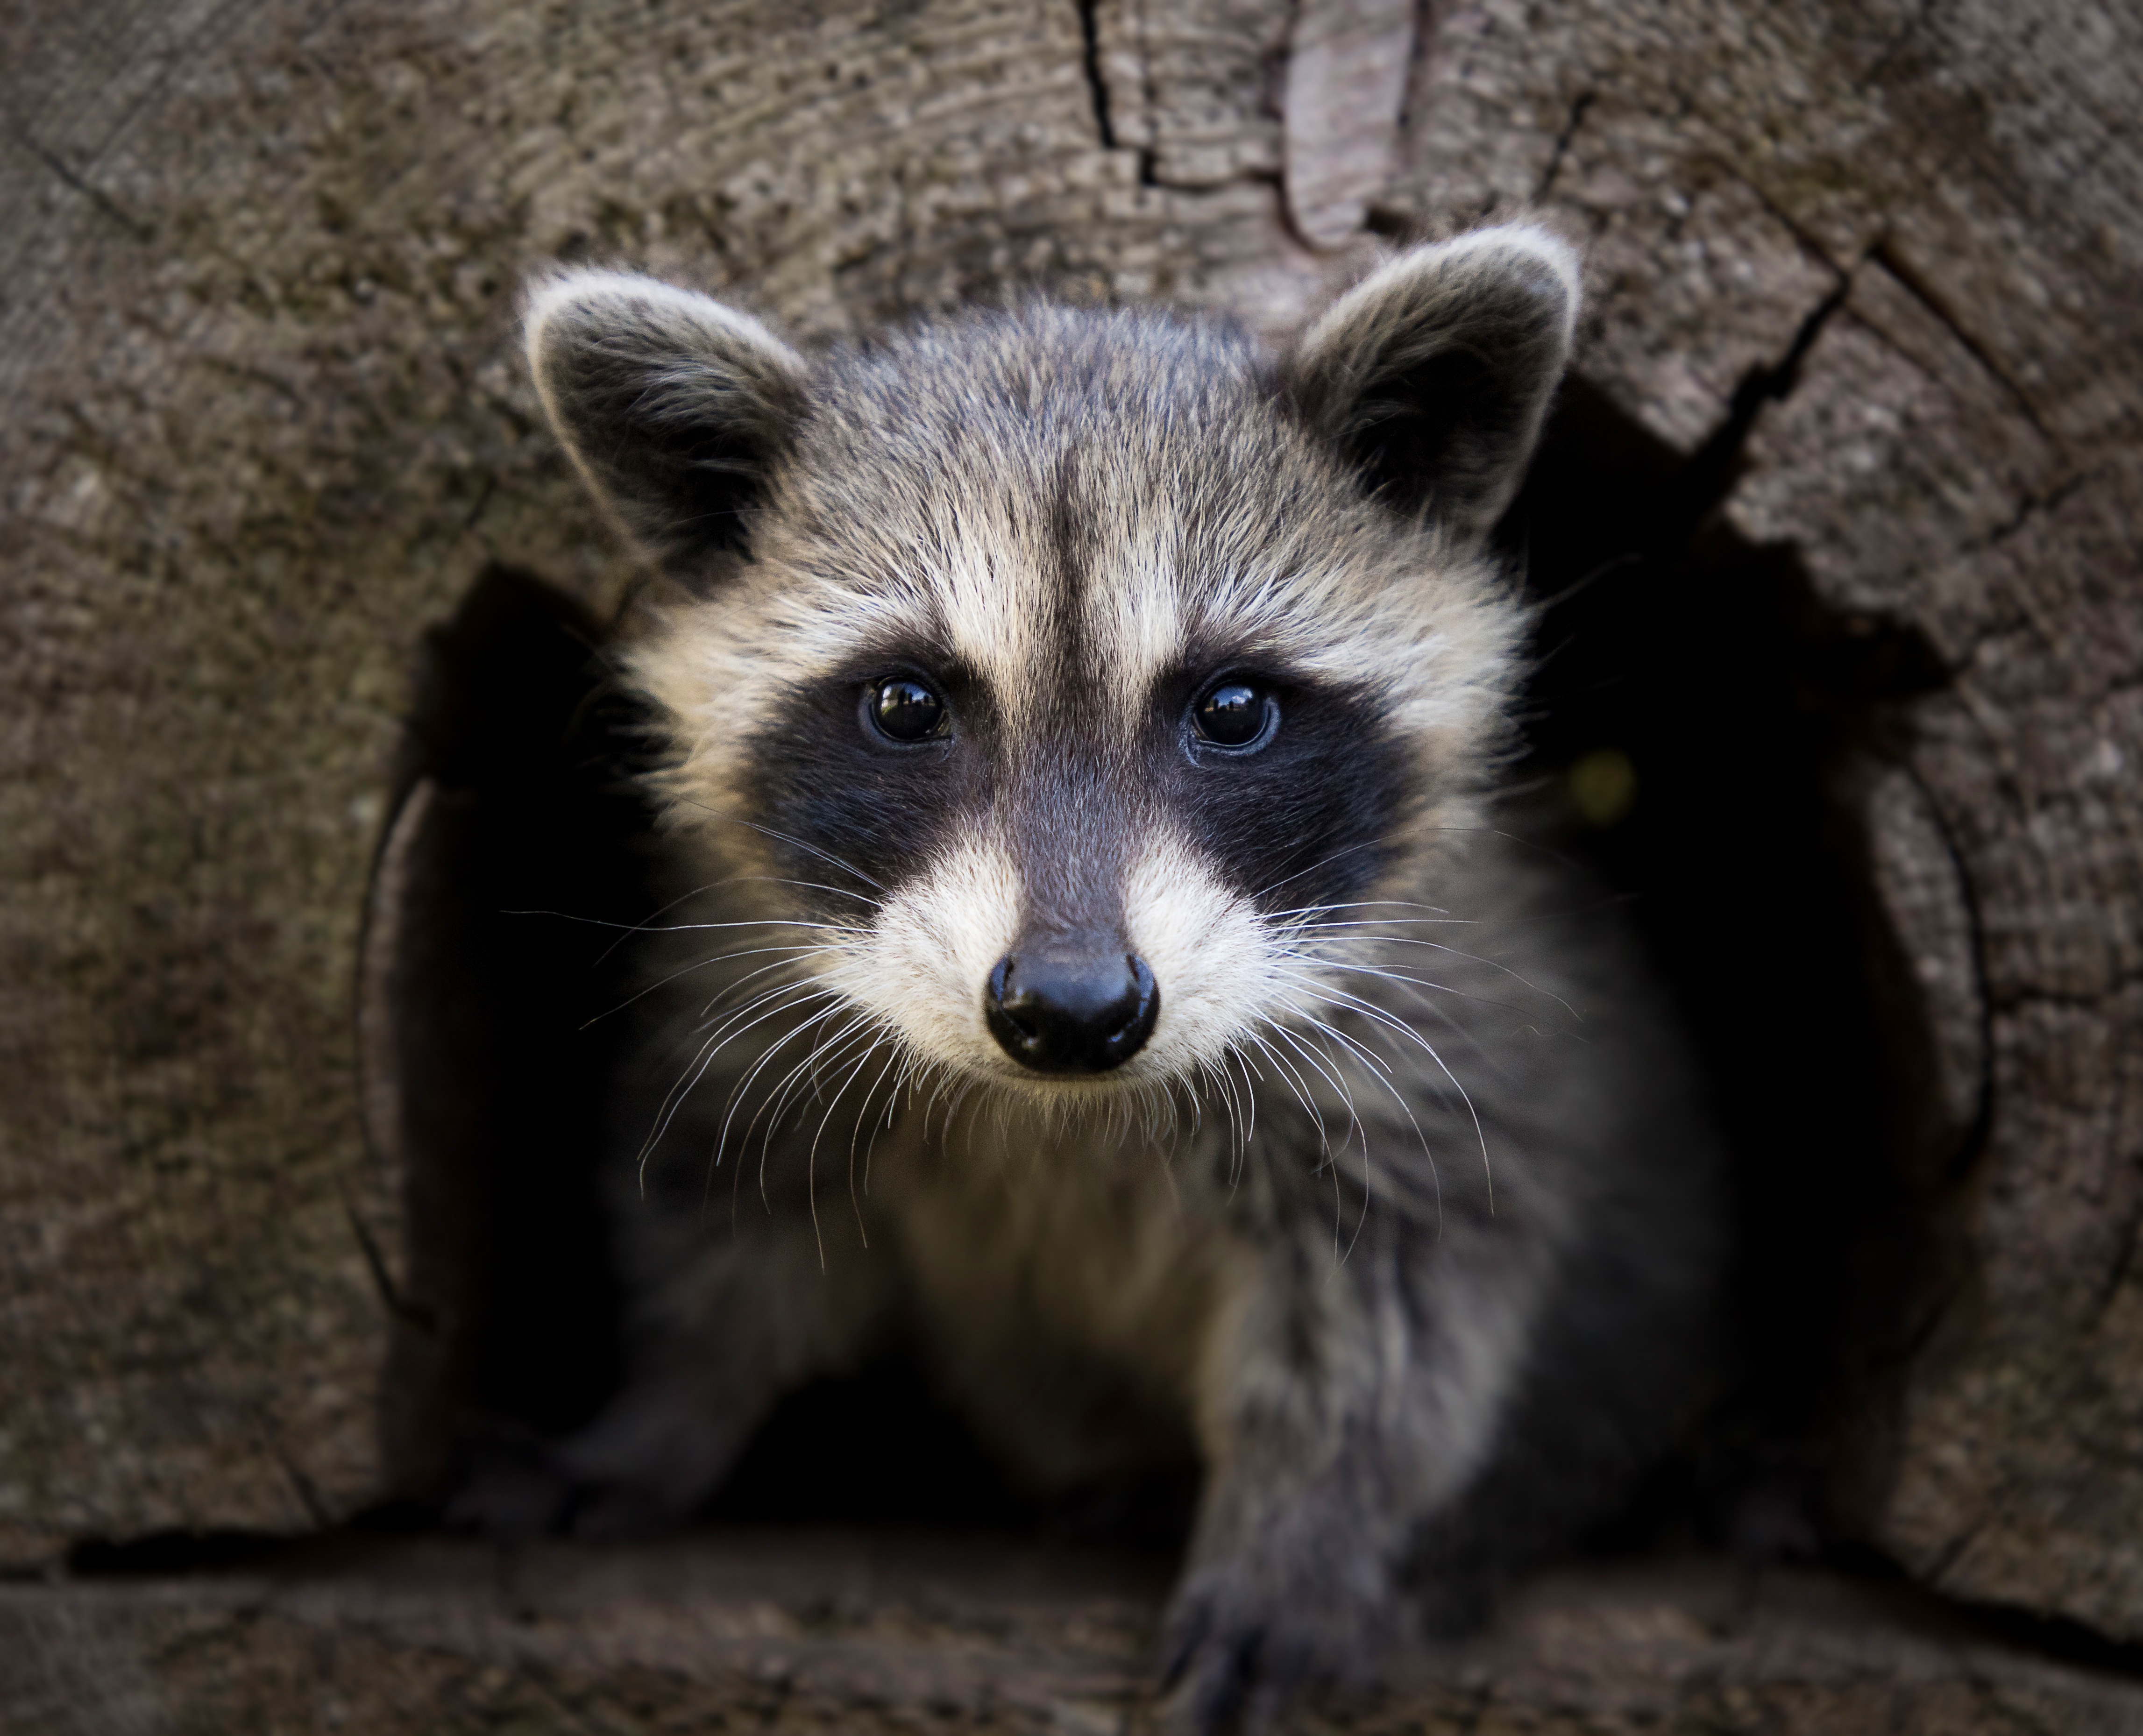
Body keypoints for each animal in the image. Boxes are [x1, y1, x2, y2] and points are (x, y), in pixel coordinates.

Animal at [517, 228, 1725, 1730]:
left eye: (1232, 709)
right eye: (906, 704)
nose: (1072, 1011)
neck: (1068, 1108)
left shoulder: (1438, 1032)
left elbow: (1400, 1307)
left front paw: (1304, 1524)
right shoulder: (751, 983)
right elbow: (728, 1216)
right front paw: (663, 1411)